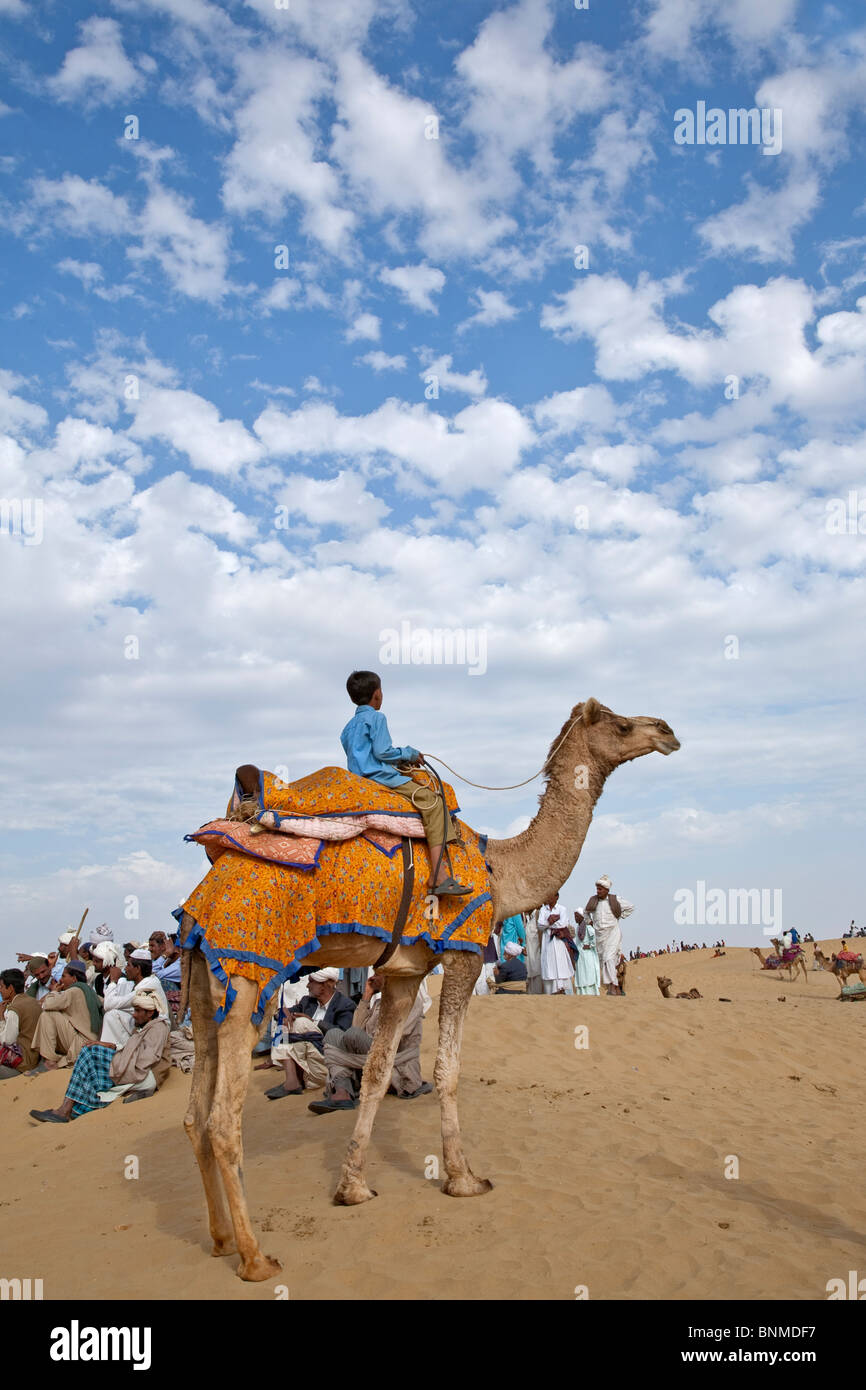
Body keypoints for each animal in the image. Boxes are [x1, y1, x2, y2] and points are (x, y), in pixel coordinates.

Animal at [180, 697, 680, 1281]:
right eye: (621, 725)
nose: (667, 731)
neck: (499, 870)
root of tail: (206, 893)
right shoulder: (464, 953)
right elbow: (447, 1069)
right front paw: (464, 1178)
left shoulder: (403, 975)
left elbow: (376, 1073)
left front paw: (352, 1188)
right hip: (252, 974)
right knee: (222, 1120)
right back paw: (255, 1257)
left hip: (202, 981)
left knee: (194, 1115)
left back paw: (219, 1239)